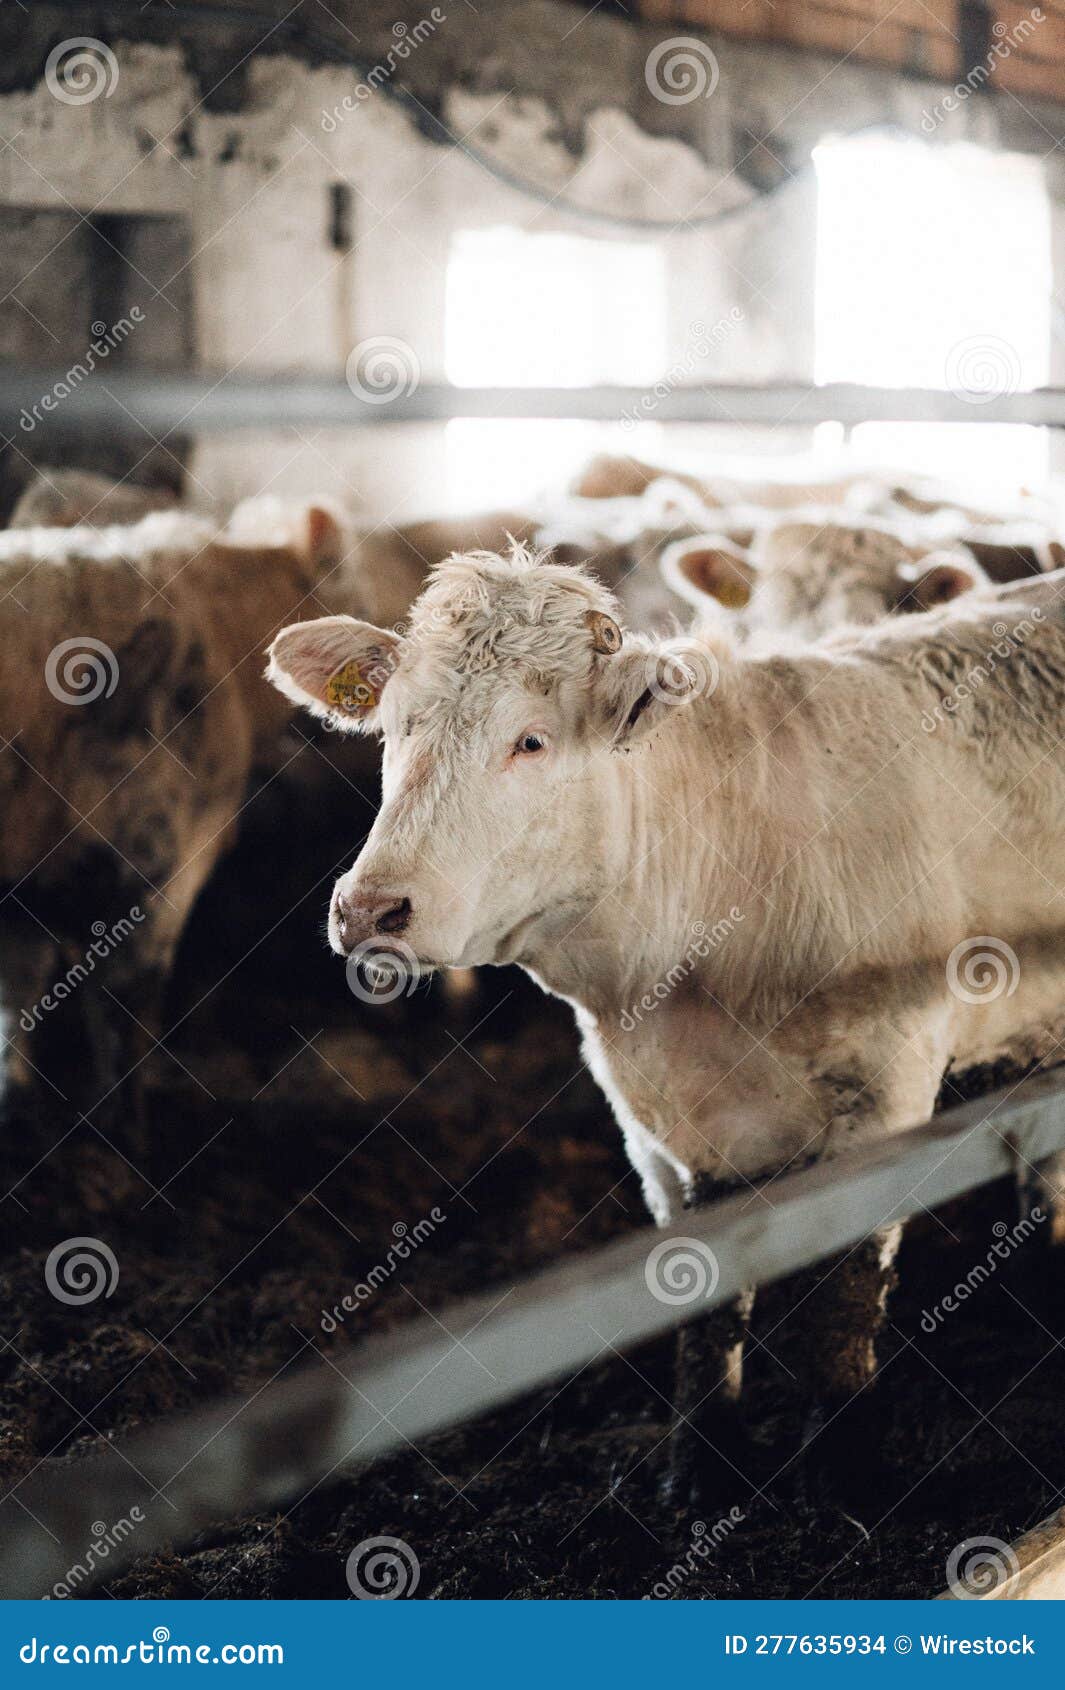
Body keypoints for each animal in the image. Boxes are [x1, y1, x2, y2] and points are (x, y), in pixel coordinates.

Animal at [267, 545, 1065, 1500]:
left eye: (530, 740)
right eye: (392, 731)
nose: (370, 909)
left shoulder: (887, 1087)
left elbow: (843, 1300)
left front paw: (838, 1466)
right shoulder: (653, 1128)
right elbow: (702, 1297)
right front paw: (700, 1467)